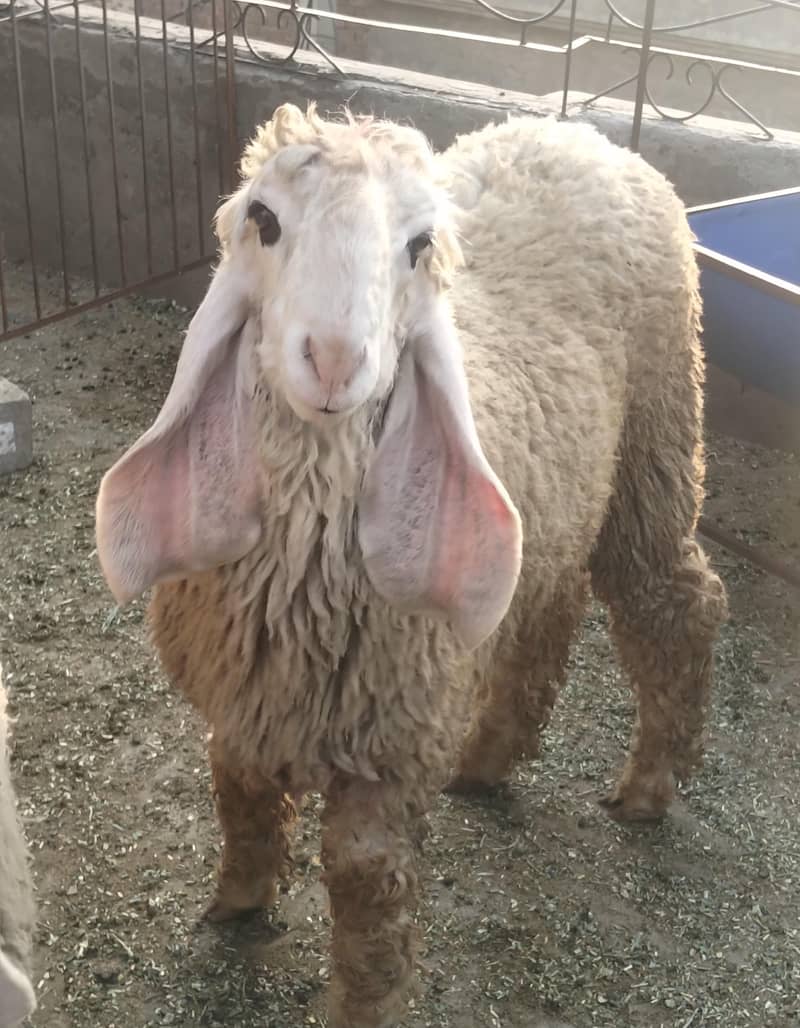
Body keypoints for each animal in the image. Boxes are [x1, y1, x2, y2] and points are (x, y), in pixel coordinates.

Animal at [95, 103, 728, 1028]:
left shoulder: (390, 741)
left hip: (659, 423)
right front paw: (236, 902)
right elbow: (238, 790)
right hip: (555, 499)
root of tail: (577, 131)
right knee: (550, 610)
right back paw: (487, 761)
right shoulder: (244, 698)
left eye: (420, 244)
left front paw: (364, 1002)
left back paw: (649, 784)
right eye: (263, 219)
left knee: (675, 598)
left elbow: (365, 881)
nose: (333, 360)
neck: (305, 590)